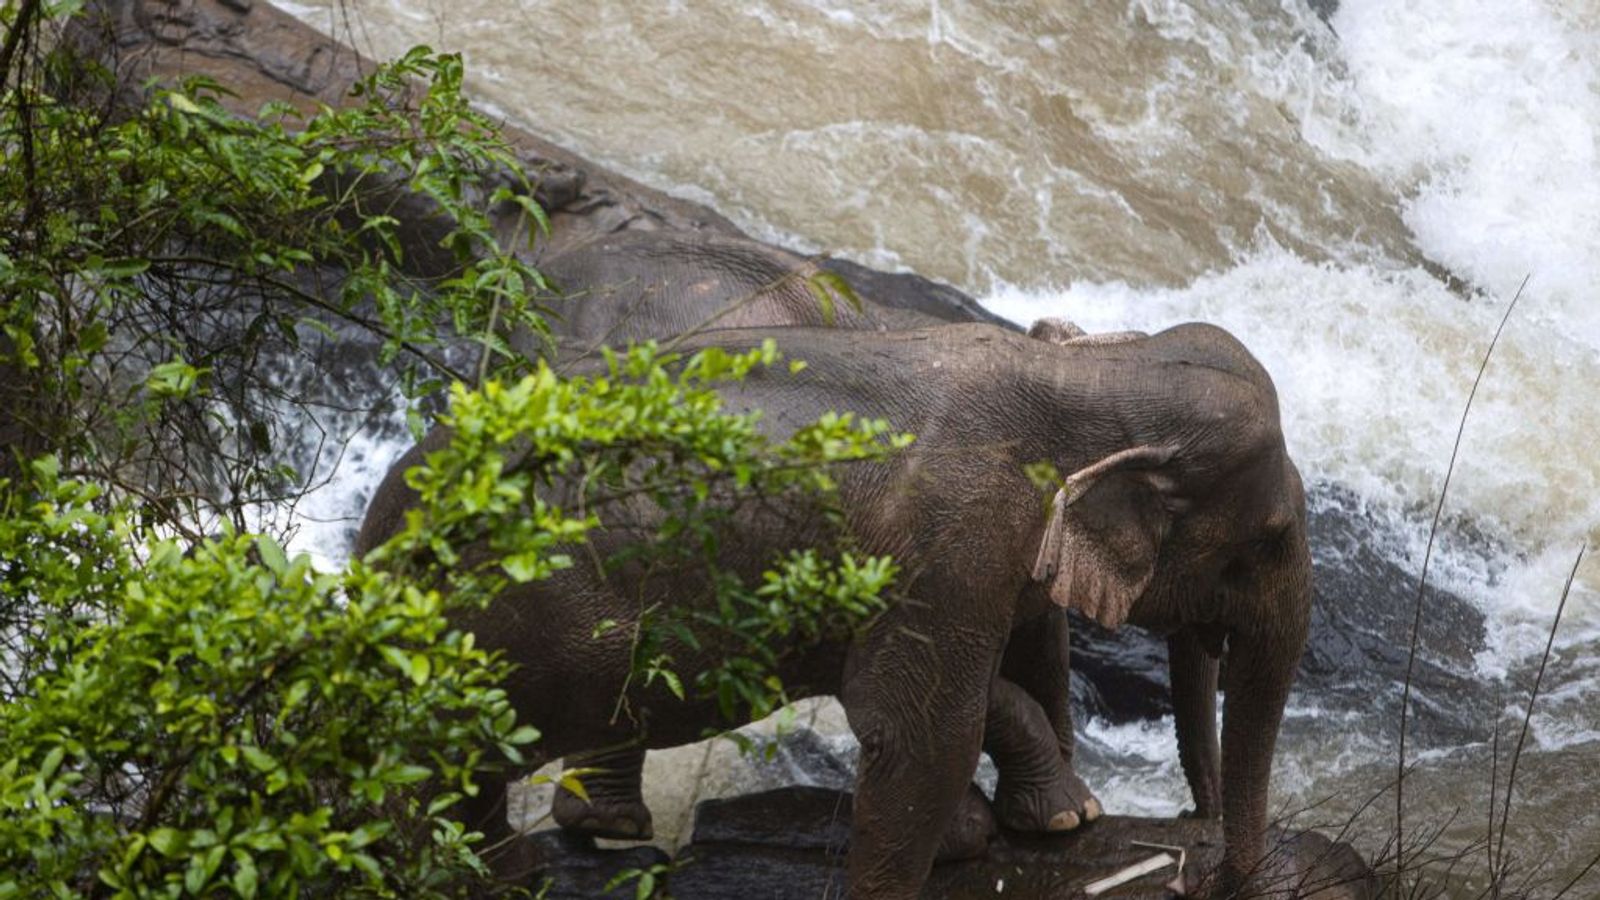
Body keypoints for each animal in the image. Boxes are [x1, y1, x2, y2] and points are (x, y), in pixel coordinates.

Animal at [356, 320, 1311, 897]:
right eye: (1269, 537)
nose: (1198, 846)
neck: (1089, 371)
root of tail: (379, 529)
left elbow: (993, 675)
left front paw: (1042, 821)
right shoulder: (954, 537)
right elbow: (920, 732)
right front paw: (1031, 821)